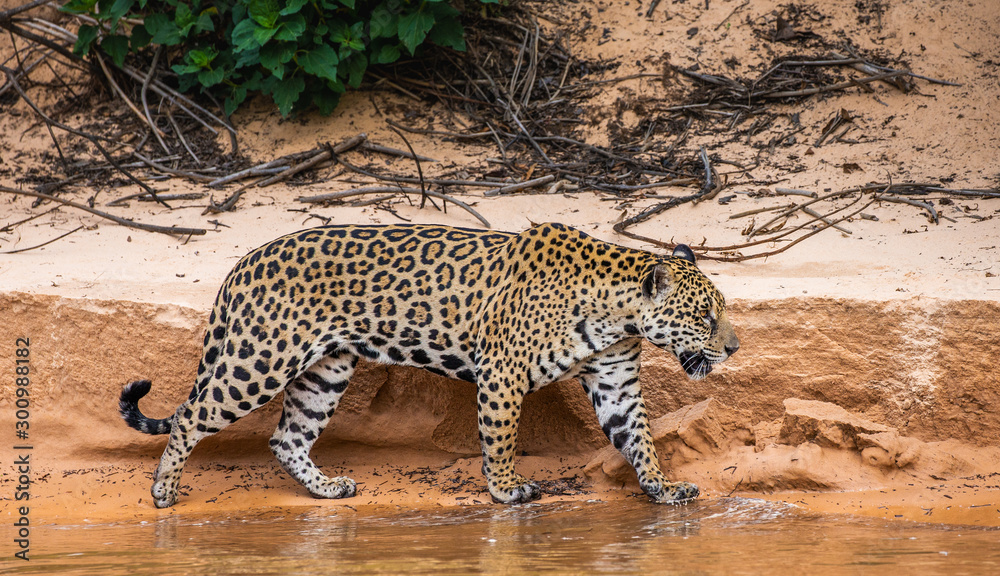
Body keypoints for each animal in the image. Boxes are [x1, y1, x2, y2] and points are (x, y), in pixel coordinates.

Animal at [120, 222, 739, 508]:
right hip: (260, 358)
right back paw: (163, 492)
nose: (733, 348)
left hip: (327, 369)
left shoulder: (615, 382)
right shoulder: (503, 374)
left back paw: (327, 489)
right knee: (189, 415)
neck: (616, 313)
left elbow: (639, 439)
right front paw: (507, 491)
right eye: (705, 316)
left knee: (287, 437)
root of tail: (242, 262)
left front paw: (663, 488)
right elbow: (501, 439)